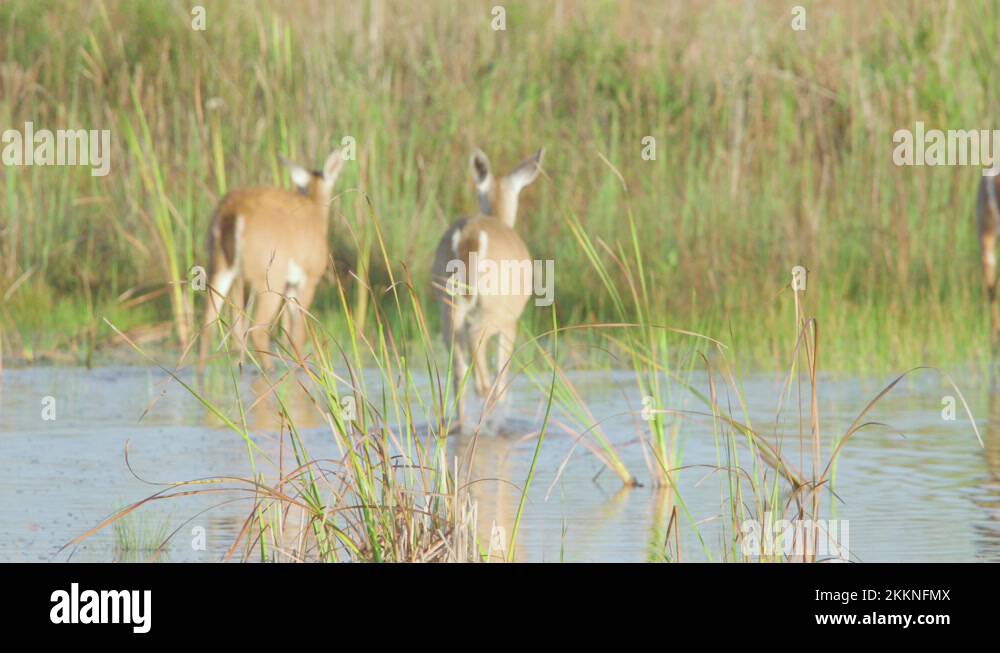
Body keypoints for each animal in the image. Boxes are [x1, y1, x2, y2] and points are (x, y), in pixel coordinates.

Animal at [197, 150, 344, 373]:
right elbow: (298, 331)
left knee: (209, 326)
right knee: (256, 331)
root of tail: (233, 211)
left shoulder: (292, 283)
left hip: (220, 266)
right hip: (269, 276)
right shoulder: (309, 276)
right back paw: (270, 371)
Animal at [431, 148, 544, 429]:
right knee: (479, 360)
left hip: (448, 306)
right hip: (494, 309)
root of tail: (469, 236)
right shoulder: (511, 322)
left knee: (458, 372)